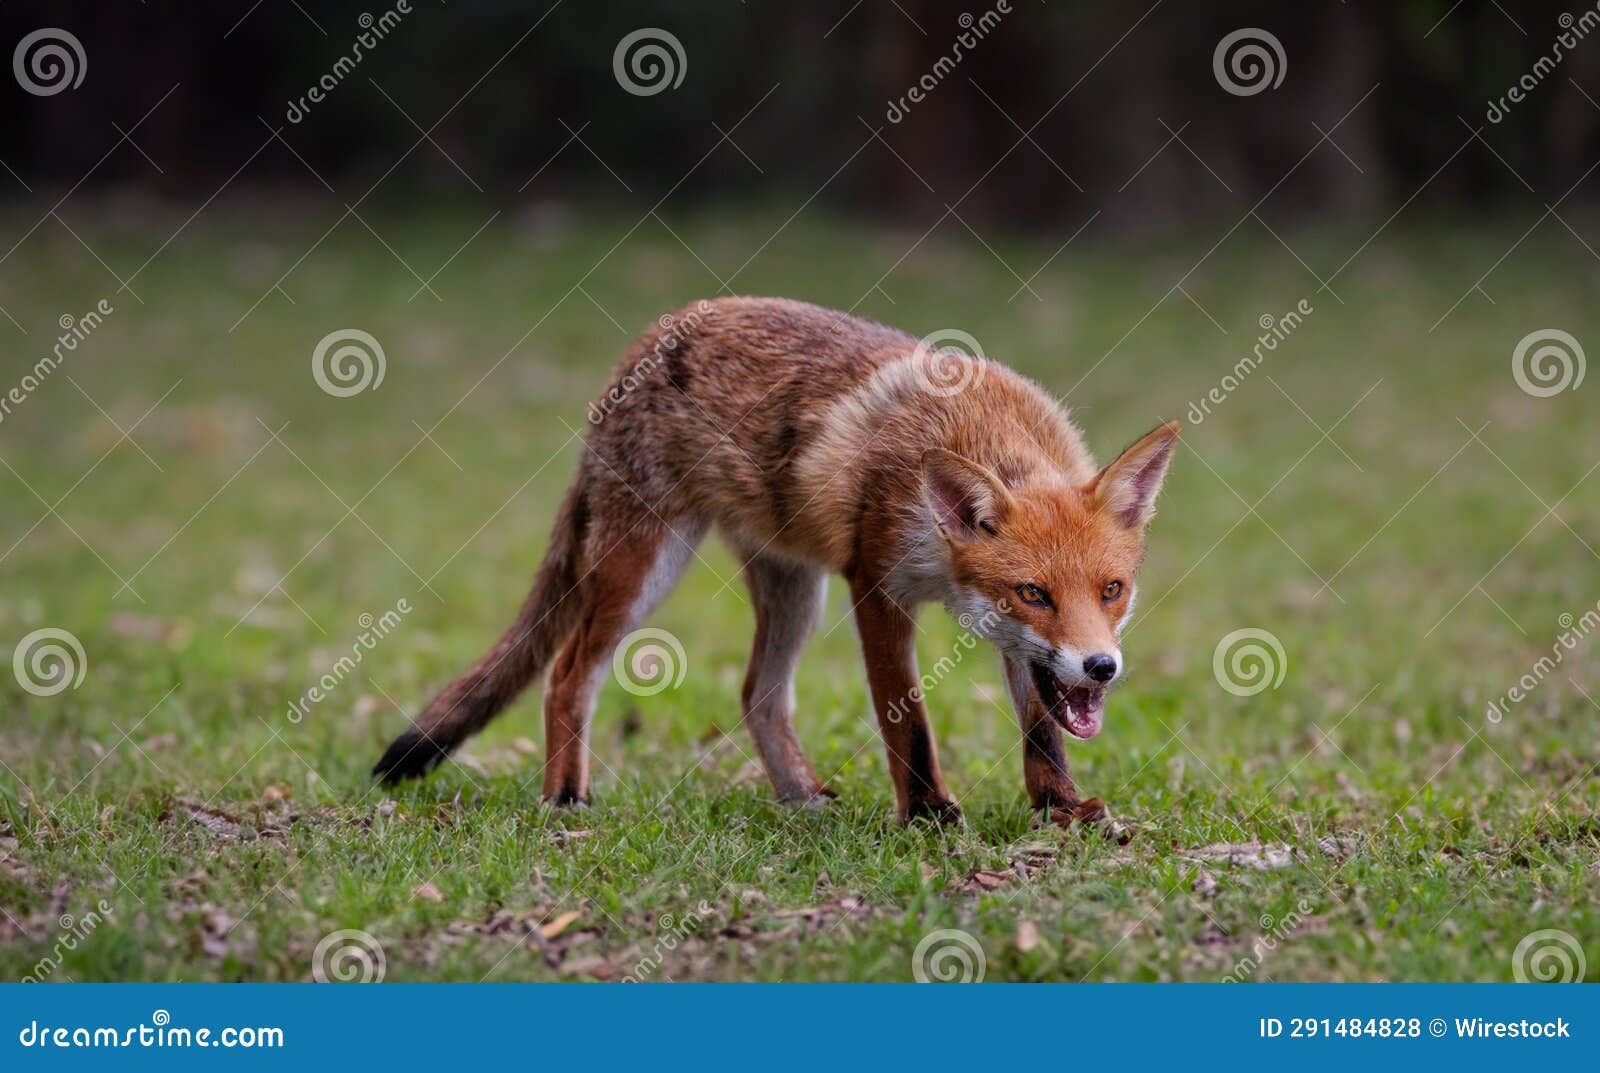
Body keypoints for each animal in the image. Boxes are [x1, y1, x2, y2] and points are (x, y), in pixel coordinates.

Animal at [373, 297, 1178, 830]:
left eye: (1112, 589)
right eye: (1033, 592)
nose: (1102, 666)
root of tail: (649, 339)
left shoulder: (1019, 648)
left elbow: (1043, 729)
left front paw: (1061, 808)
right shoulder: (875, 585)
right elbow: (909, 721)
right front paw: (928, 814)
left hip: (794, 588)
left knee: (757, 693)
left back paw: (800, 796)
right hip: (645, 567)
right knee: (568, 674)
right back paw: (567, 797)